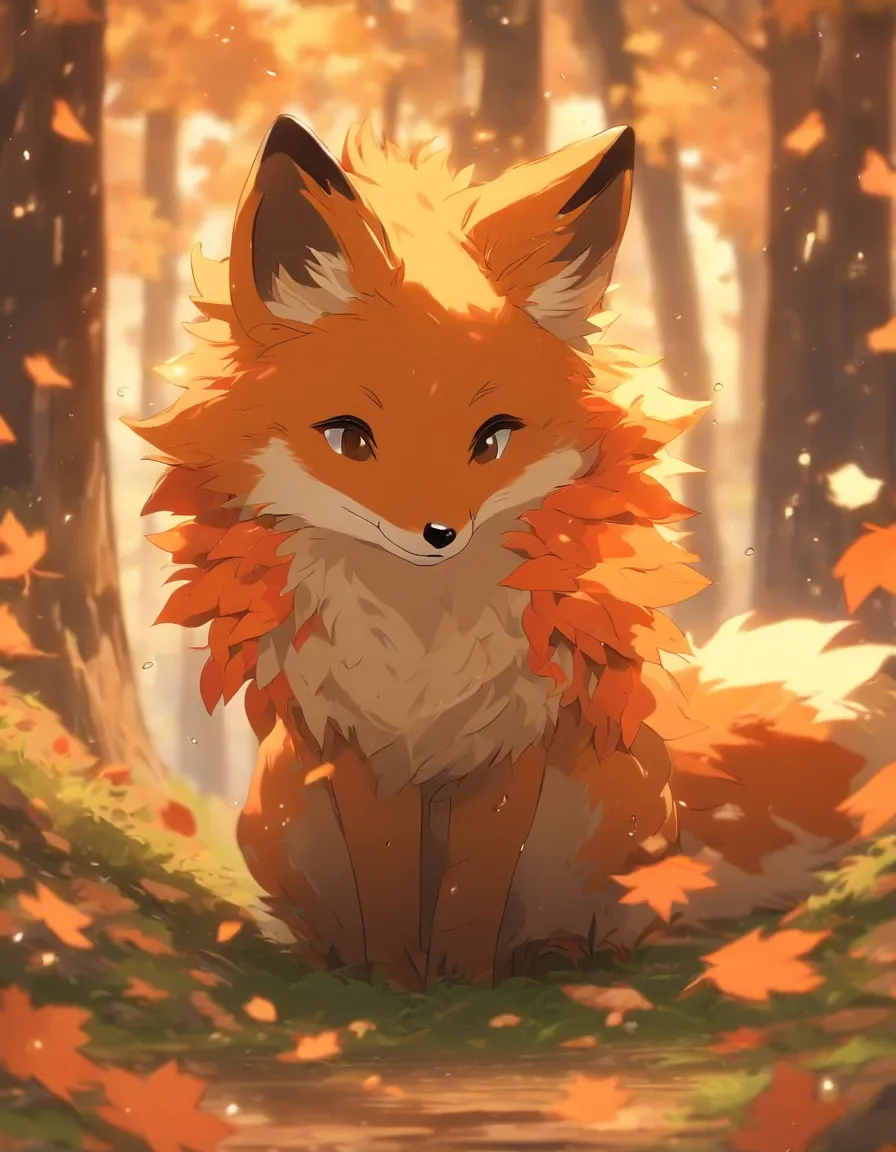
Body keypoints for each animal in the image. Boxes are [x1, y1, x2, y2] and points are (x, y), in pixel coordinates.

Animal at [130, 115, 896, 990]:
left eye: (491, 440)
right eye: (350, 439)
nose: (438, 535)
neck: (420, 642)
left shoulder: (511, 747)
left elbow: (474, 892)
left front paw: (464, 984)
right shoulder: (358, 751)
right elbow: (385, 887)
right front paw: (396, 985)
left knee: (621, 921)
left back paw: (558, 959)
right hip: (284, 813)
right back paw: (335, 964)